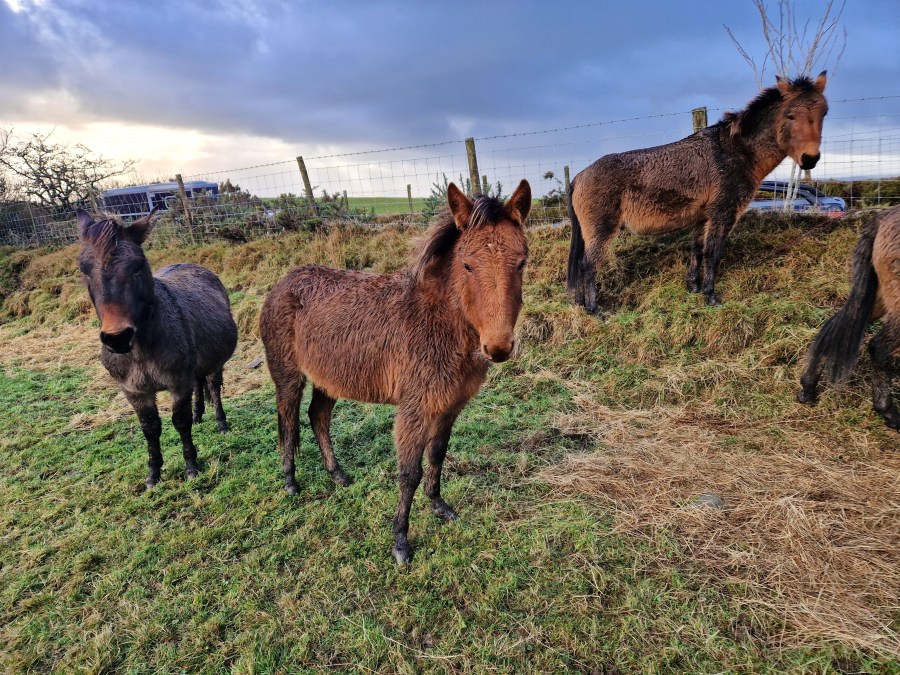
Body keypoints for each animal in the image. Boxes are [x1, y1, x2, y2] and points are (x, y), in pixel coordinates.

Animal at [76, 208, 238, 488]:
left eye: (138, 266)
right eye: (84, 270)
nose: (118, 338)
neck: (141, 351)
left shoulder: (178, 383)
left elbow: (180, 422)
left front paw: (192, 466)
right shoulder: (134, 391)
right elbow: (150, 428)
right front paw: (153, 473)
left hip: (216, 361)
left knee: (214, 387)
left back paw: (220, 422)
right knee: (200, 383)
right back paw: (199, 415)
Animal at [259, 180, 531, 564]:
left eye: (521, 263)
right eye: (467, 266)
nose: (498, 347)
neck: (438, 321)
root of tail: (282, 283)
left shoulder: (449, 406)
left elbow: (437, 456)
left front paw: (440, 506)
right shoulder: (414, 409)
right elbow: (409, 473)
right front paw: (400, 541)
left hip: (329, 378)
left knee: (318, 417)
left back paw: (338, 474)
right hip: (288, 376)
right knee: (287, 422)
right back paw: (290, 481)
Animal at [567, 72, 829, 312]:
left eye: (824, 112)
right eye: (790, 115)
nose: (810, 159)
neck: (735, 151)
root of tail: (579, 177)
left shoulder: (702, 217)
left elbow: (698, 250)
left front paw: (693, 287)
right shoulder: (723, 214)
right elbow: (713, 253)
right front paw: (710, 296)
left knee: (580, 265)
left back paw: (580, 305)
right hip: (601, 230)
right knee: (588, 265)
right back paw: (595, 310)